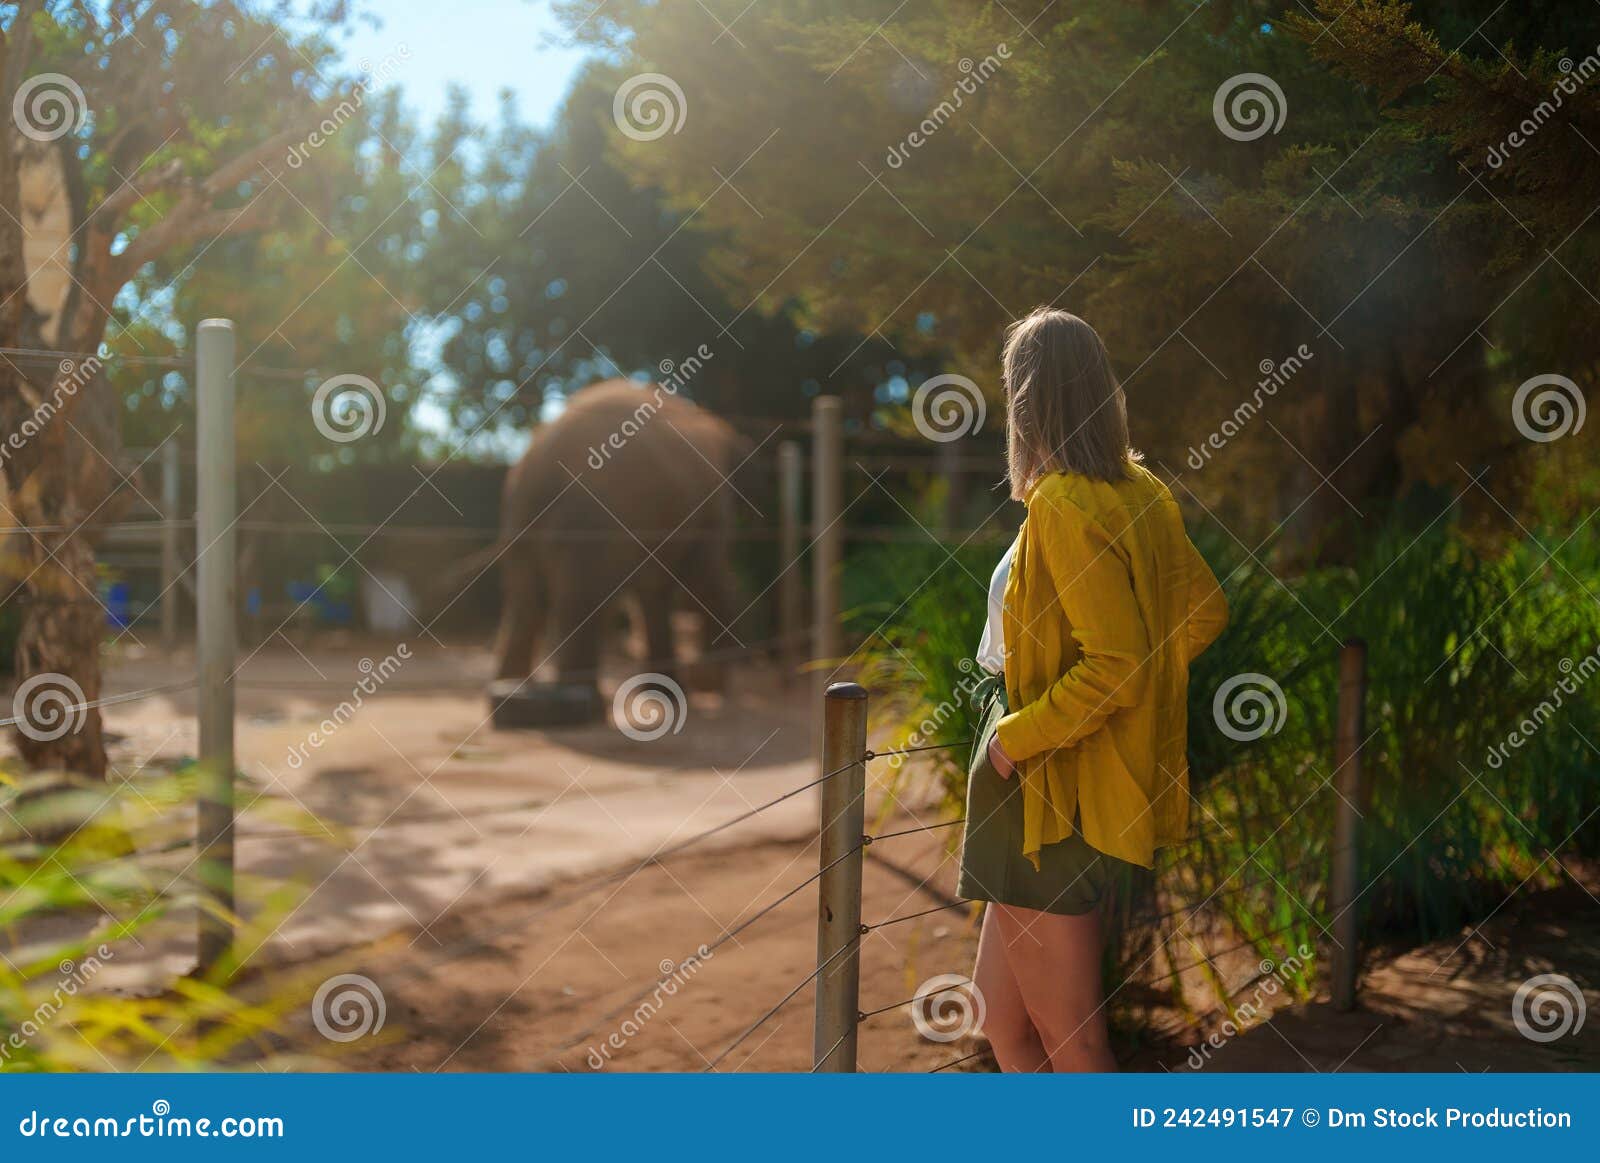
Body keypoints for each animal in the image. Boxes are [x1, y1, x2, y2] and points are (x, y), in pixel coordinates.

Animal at [490, 378, 747, 702]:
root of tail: (542, 463)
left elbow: (656, 588)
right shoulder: (707, 510)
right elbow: (698, 578)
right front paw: (703, 682)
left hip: (522, 519)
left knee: (527, 596)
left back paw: (514, 688)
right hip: (595, 516)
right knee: (579, 596)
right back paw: (579, 695)